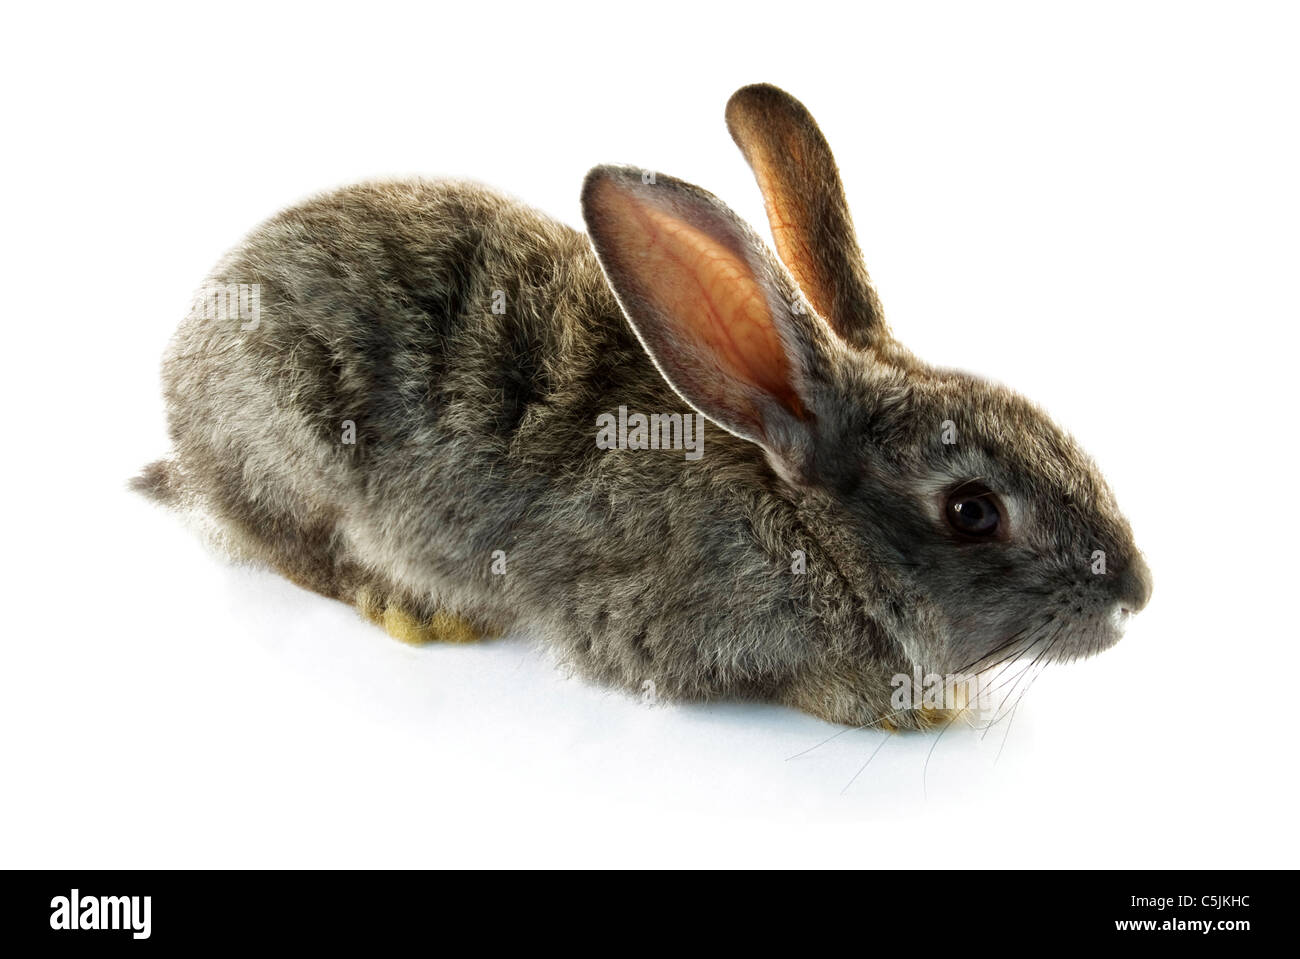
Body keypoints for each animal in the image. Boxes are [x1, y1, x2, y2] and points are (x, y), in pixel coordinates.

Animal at [134, 83, 1151, 730]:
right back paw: (410, 605)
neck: (806, 524)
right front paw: (912, 707)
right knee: (297, 550)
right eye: (972, 511)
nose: (1135, 594)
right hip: (290, 447)